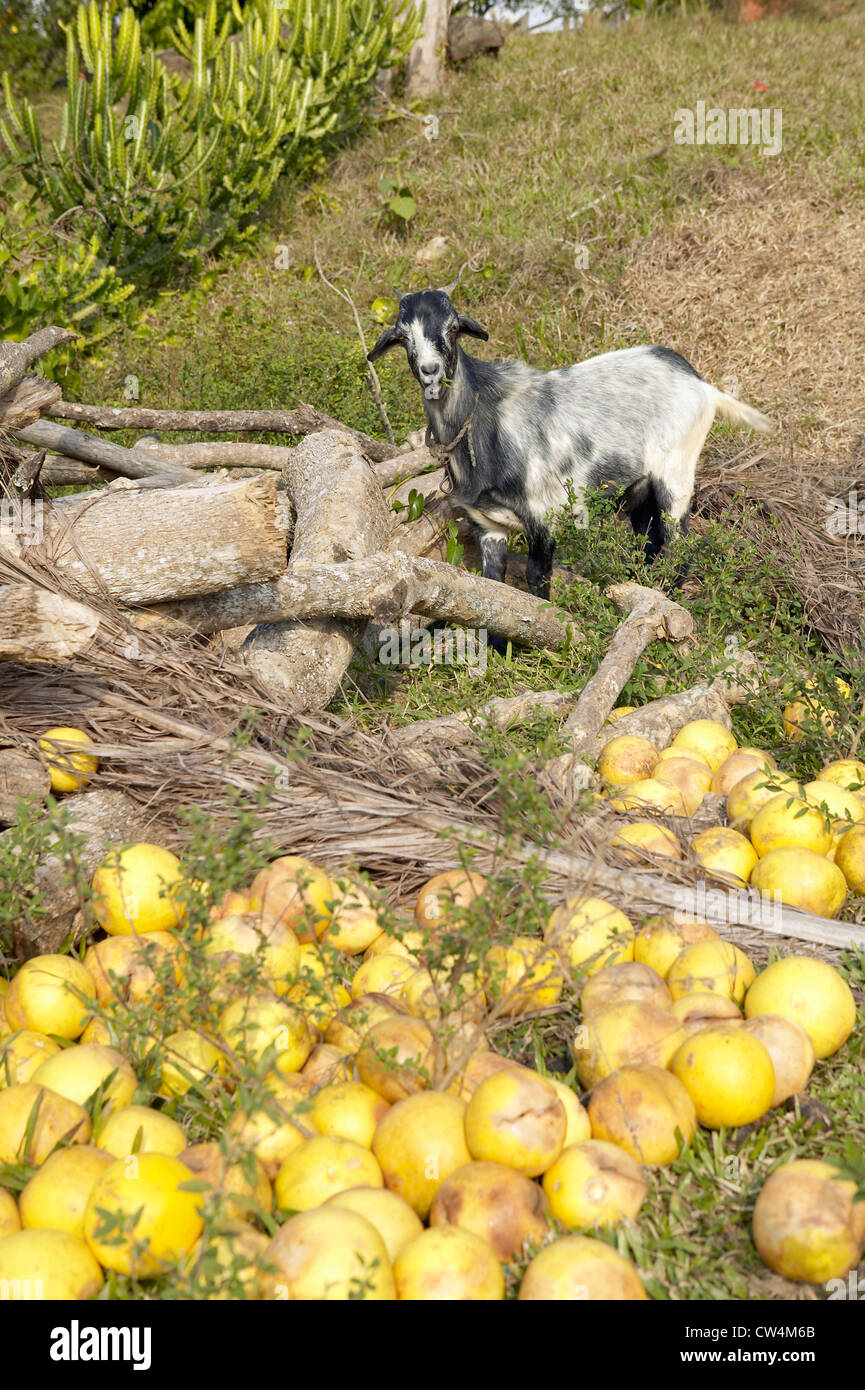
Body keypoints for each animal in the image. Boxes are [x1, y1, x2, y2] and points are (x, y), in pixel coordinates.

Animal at [368, 286, 772, 601]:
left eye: (453, 328)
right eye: (403, 336)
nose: (431, 372)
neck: (484, 417)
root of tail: (701, 384)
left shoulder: (544, 514)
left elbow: (536, 579)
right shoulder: (487, 525)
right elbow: (494, 586)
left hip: (676, 476)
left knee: (677, 548)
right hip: (641, 489)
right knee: (648, 544)